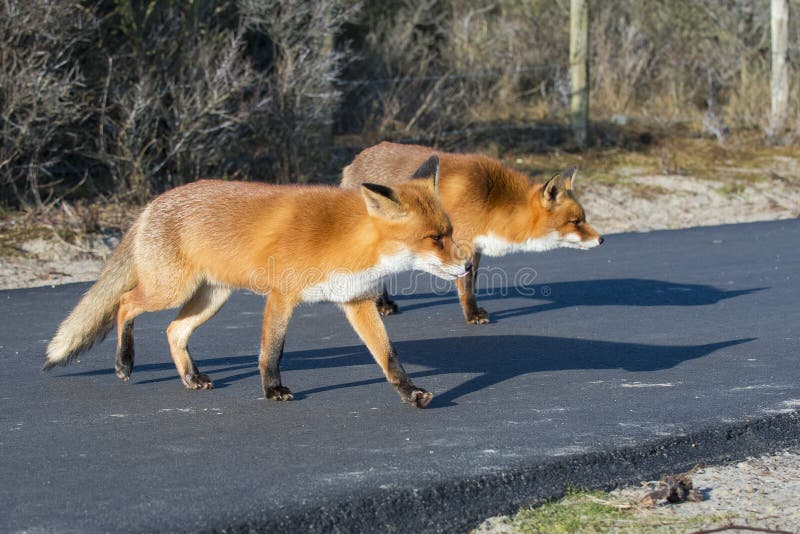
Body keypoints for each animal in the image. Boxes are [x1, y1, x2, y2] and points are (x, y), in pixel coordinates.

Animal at [44, 156, 468, 408]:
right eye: (435, 238)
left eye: (450, 231)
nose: (466, 266)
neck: (347, 240)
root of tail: (153, 203)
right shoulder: (282, 295)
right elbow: (271, 351)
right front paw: (272, 389)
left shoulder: (356, 300)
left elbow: (389, 356)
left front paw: (410, 392)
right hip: (170, 290)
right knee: (125, 304)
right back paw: (124, 362)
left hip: (211, 298)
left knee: (173, 330)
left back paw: (190, 377)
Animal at [341, 142, 603, 324]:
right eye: (575, 222)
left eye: (584, 218)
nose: (601, 240)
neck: (491, 201)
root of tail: (355, 160)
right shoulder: (463, 244)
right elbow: (465, 286)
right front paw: (472, 315)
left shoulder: (475, 249)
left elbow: (472, 283)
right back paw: (380, 304)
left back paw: (383, 303)